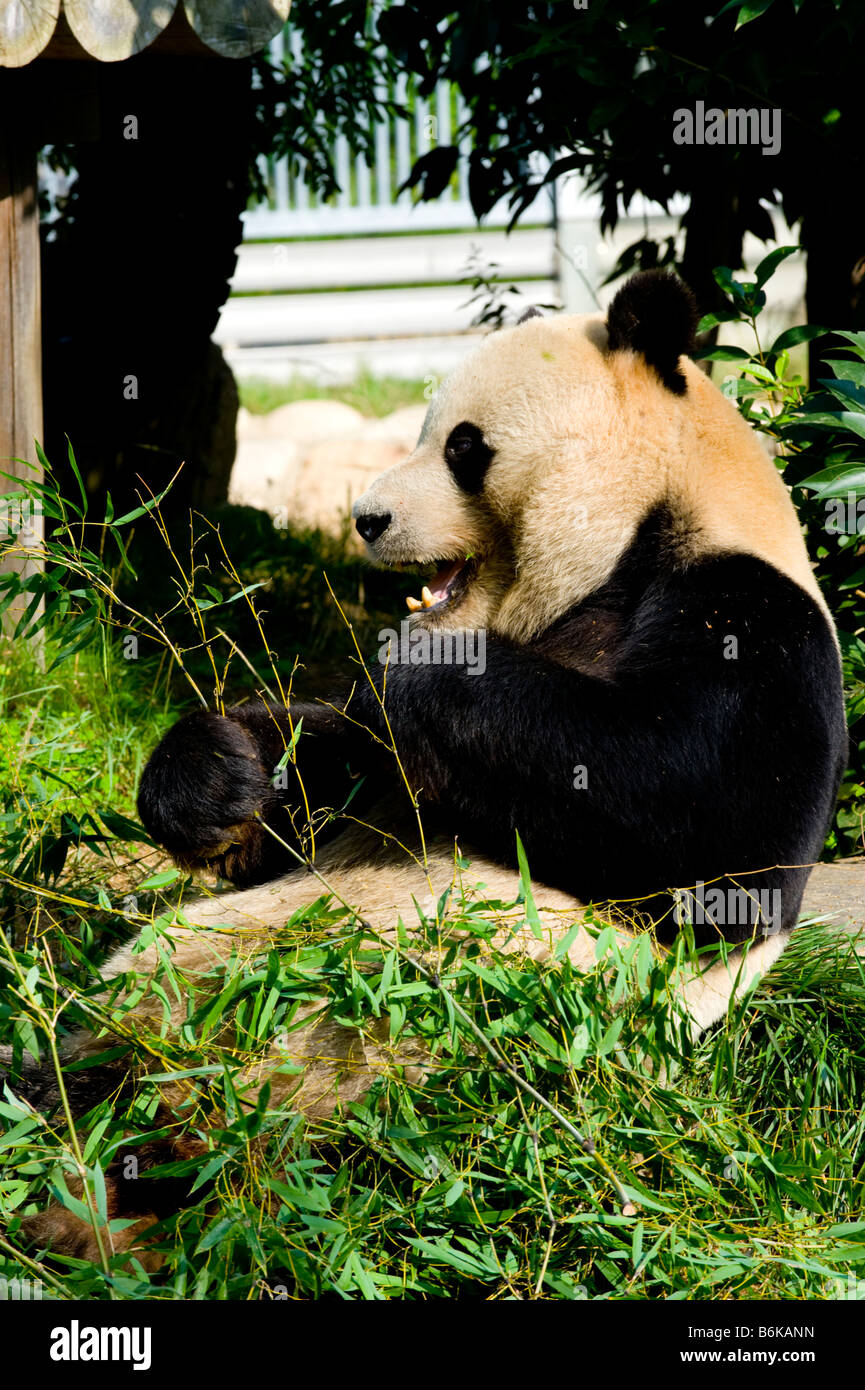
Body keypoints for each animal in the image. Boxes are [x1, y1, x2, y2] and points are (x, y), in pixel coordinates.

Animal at [13, 270, 847, 1264]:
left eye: (463, 446)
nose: (367, 519)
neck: (643, 532)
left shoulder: (745, 613)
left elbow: (708, 829)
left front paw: (417, 663)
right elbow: (320, 789)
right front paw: (221, 780)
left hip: (442, 1106)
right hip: (165, 1001)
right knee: (79, 1054)